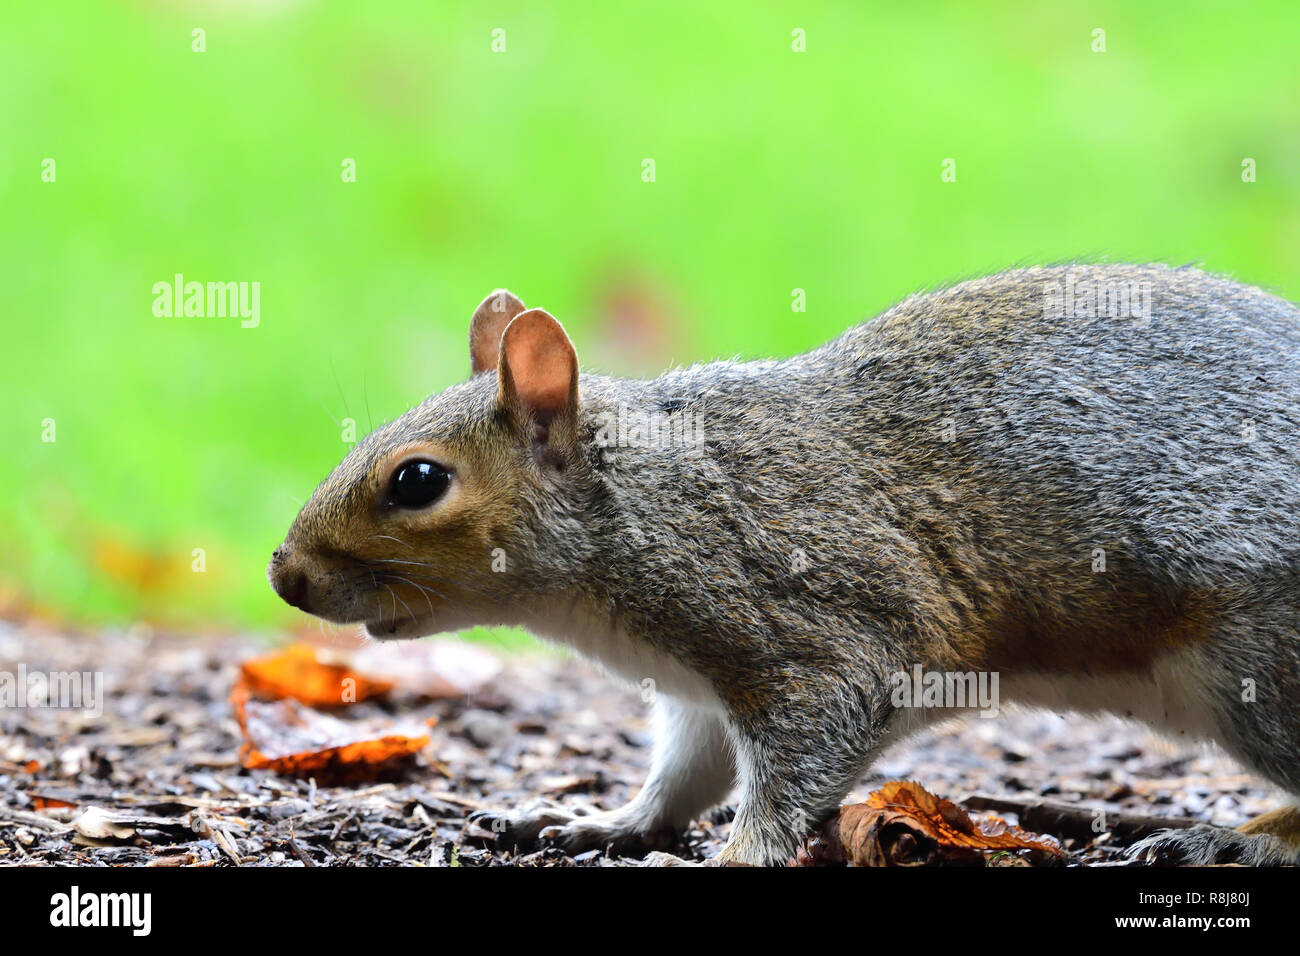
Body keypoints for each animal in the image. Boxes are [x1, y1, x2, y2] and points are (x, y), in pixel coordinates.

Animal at [270, 263, 1300, 866]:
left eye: (417, 481)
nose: (285, 576)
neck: (647, 501)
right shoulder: (696, 692)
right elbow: (686, 771)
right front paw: (611, 823)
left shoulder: (811, 625)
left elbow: (803, 753)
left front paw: (740, 854)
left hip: (1260, 667)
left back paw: (1234, 840)